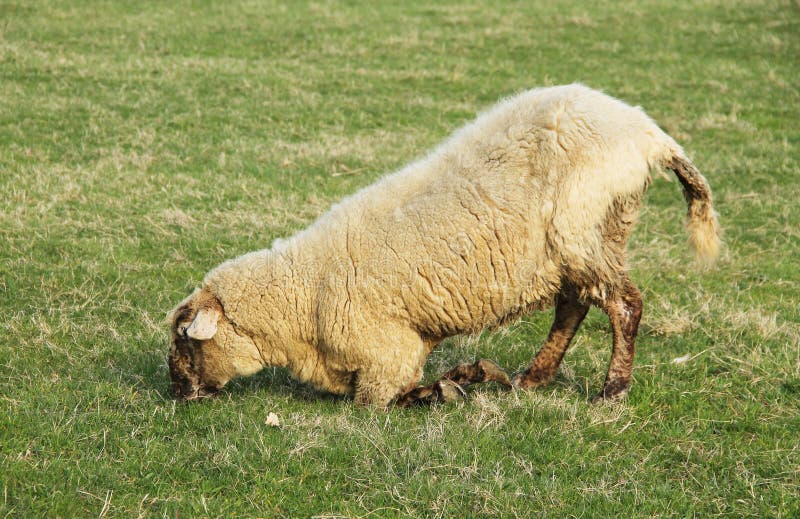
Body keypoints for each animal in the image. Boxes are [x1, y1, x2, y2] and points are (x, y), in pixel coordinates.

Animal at [168, 84, 720, 407]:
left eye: (185, 340)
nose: (175, 393)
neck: (302, 295)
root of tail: (650, 135)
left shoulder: (387, 359)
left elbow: (392, 399)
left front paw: (458, 382)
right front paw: (471, 377)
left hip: (585, 230)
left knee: (624, 305)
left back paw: (612, 390)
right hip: (582, 243)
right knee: (574, 306)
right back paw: (534, 378)